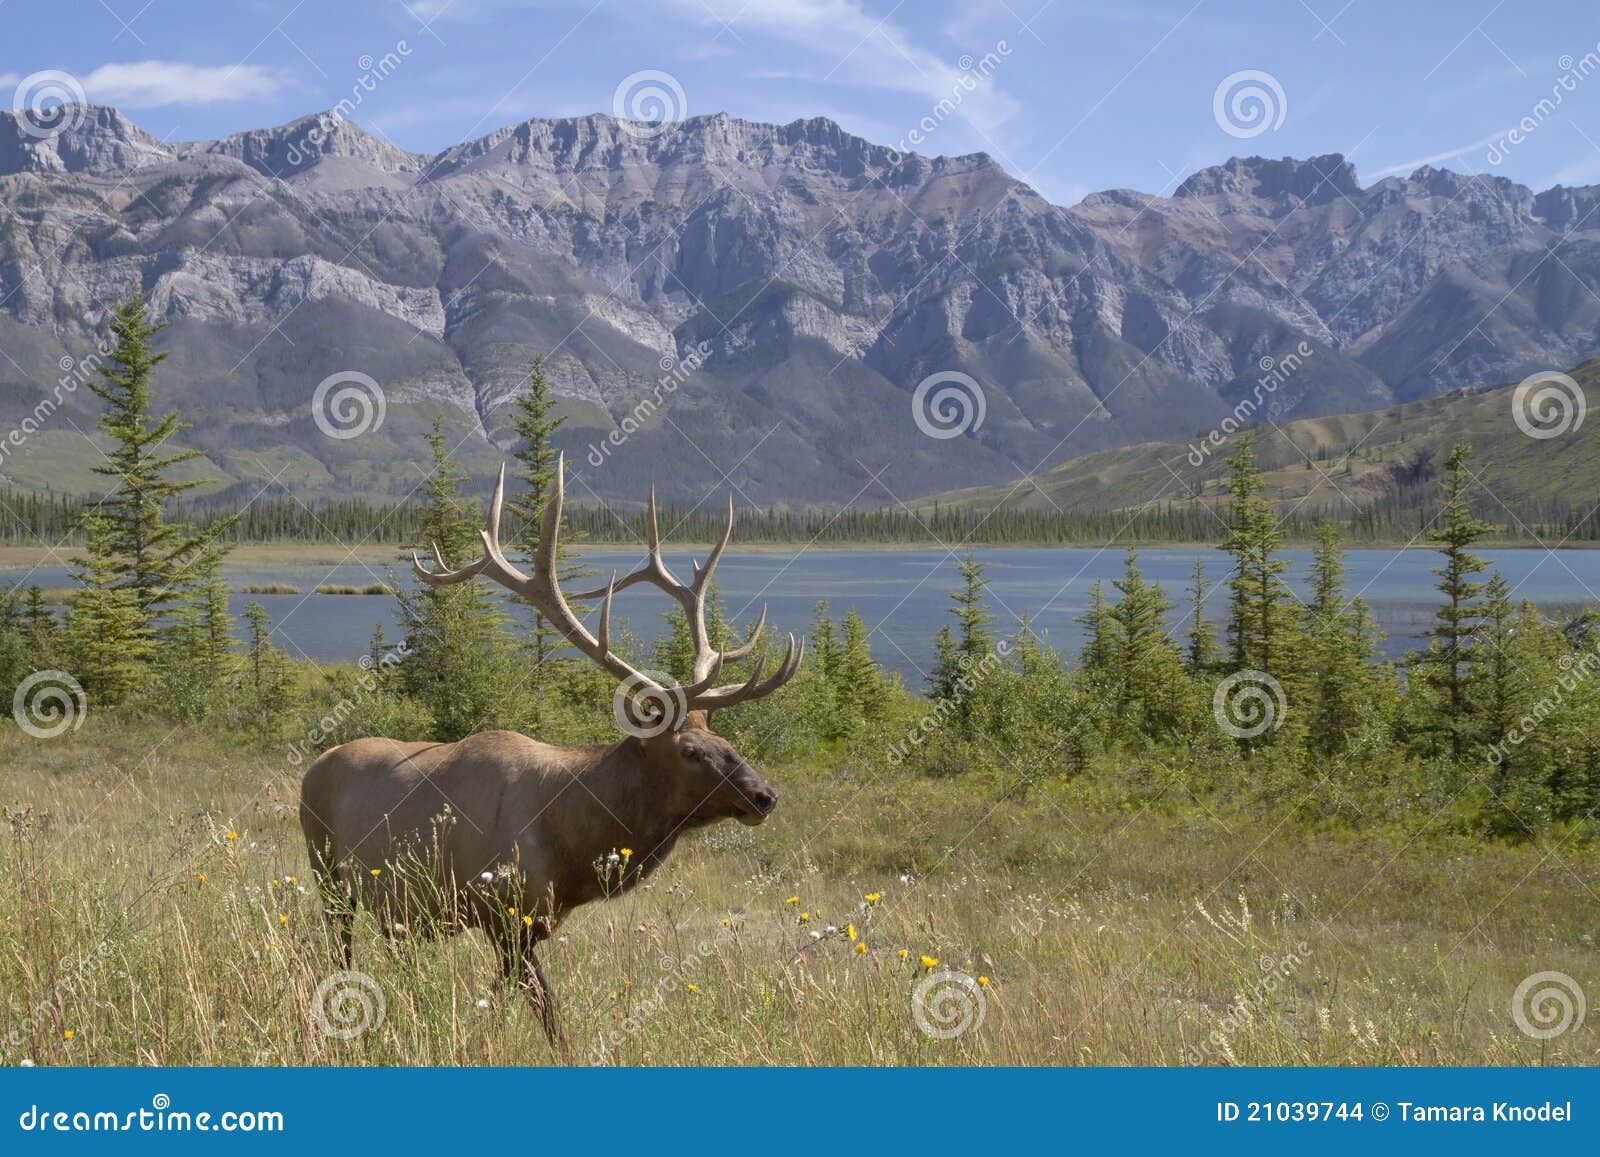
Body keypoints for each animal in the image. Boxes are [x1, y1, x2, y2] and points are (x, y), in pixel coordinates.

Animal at [297, 454, 803, 1044]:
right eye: (690, 751)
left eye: (726, 740)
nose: (765, 795)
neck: (572, 842)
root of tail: (310, 771)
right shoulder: (502, 912)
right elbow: (537, 1010)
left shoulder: (530, 923)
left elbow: (519, 1003)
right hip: (328, 877)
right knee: (339, 951)